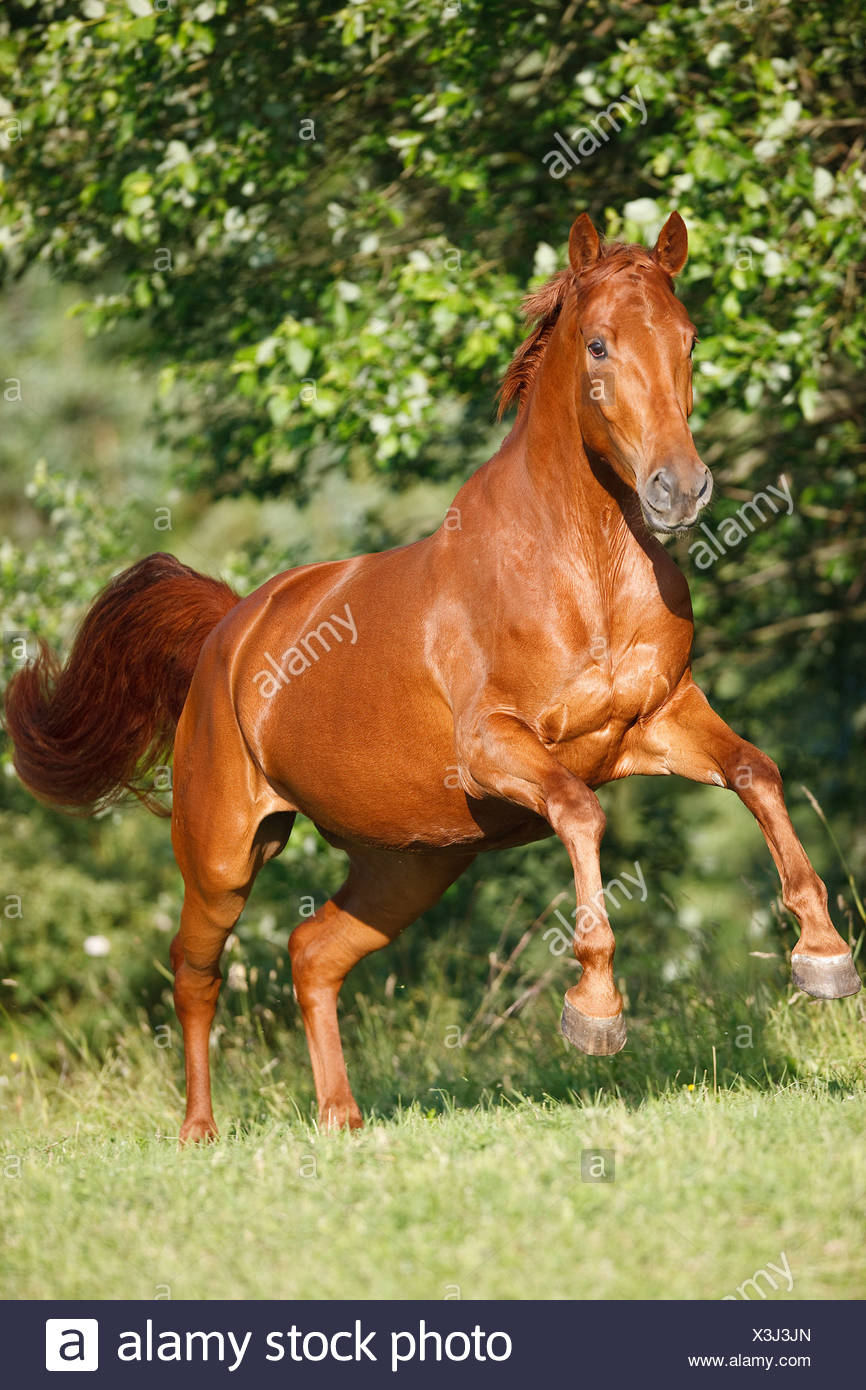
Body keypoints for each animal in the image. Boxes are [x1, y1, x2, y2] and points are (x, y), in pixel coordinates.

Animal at [5, 211, 860, 1142]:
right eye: (599, 344)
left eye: (690, 340)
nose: (681, 490)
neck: (581, 570)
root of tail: (229, 629)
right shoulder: (496, 748)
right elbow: (581, 812)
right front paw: (595, 1011)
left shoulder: (660, 720)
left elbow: (755, 773)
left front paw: (823, 956)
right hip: (224, 852)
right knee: (196, 970)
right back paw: (200, 1131)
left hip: (408, 866)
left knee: (313, 954)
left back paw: (341, 1118)